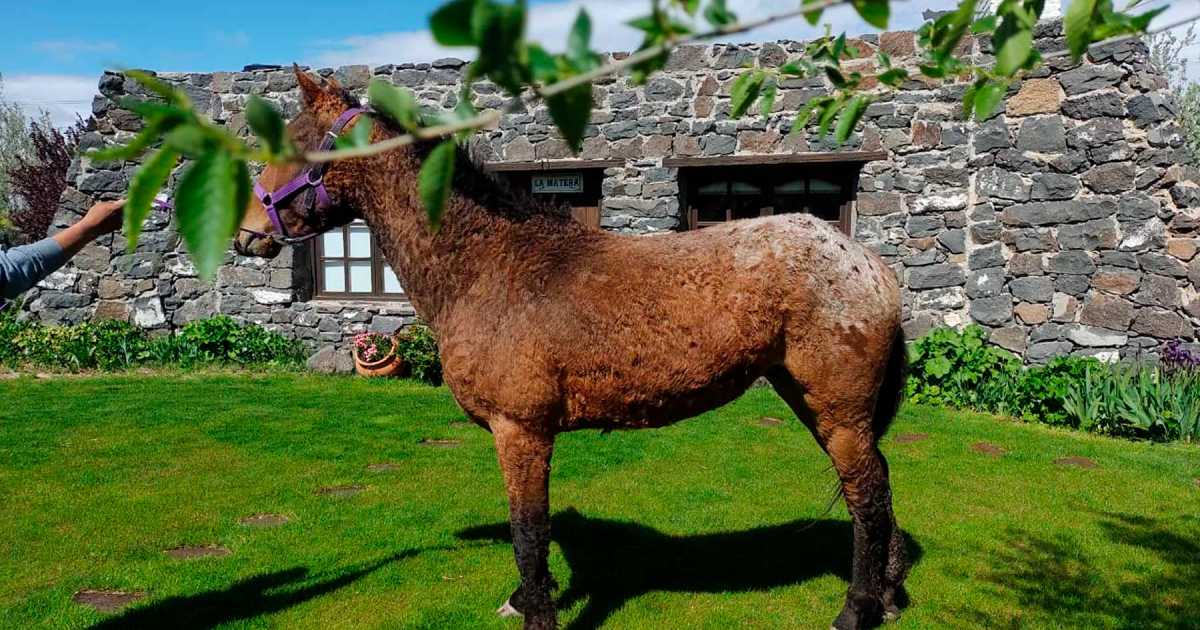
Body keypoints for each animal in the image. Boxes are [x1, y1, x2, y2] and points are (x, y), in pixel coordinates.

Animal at [233, 67, 909, 630]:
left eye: (293, 145)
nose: (248, 235)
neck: (491, 265)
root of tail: (866, 263)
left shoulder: (521, 431)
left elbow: (528, 530)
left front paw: (535, 610)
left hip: (838, 411)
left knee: (868, 495)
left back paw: (856, 610)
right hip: (813, 402)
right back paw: (889, 591)